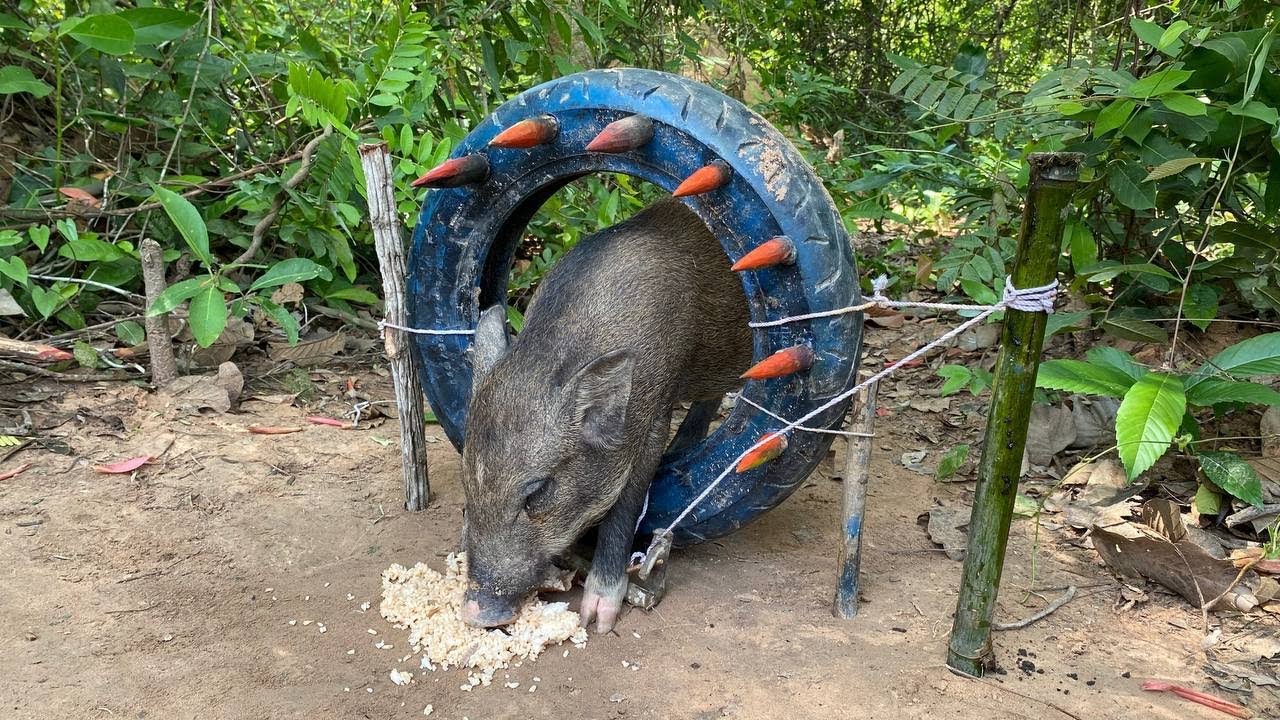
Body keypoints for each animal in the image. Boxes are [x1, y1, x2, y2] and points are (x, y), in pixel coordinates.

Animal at [460, 197, 752, 633]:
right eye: (467, 485)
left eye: (537, 493)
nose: (474, 613)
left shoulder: (654, 409)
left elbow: (628, 502)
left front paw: (596, 620)